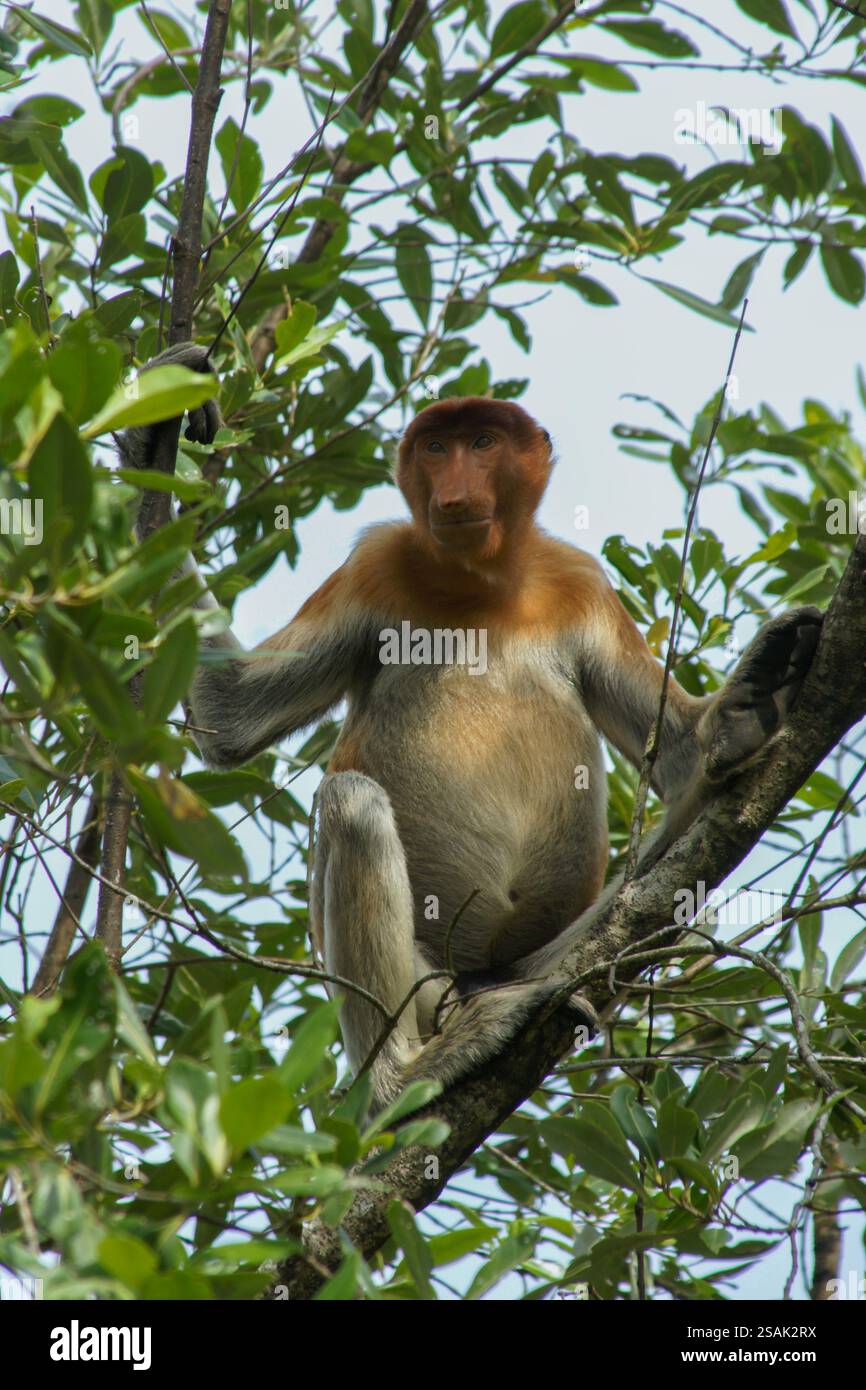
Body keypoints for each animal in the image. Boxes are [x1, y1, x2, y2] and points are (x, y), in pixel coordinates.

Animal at [119, 342, 823, 1112]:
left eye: (482, 443)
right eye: (435, 448)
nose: (454, 493)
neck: (481, 584)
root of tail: (478, 976)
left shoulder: (581, 581)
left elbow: (677, 766)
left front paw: (745, 705)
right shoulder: (375, 564)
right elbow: (230, 715)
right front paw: (149, 437)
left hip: (546, 956)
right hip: (420, 985)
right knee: (351, 803)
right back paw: (404, 1075)